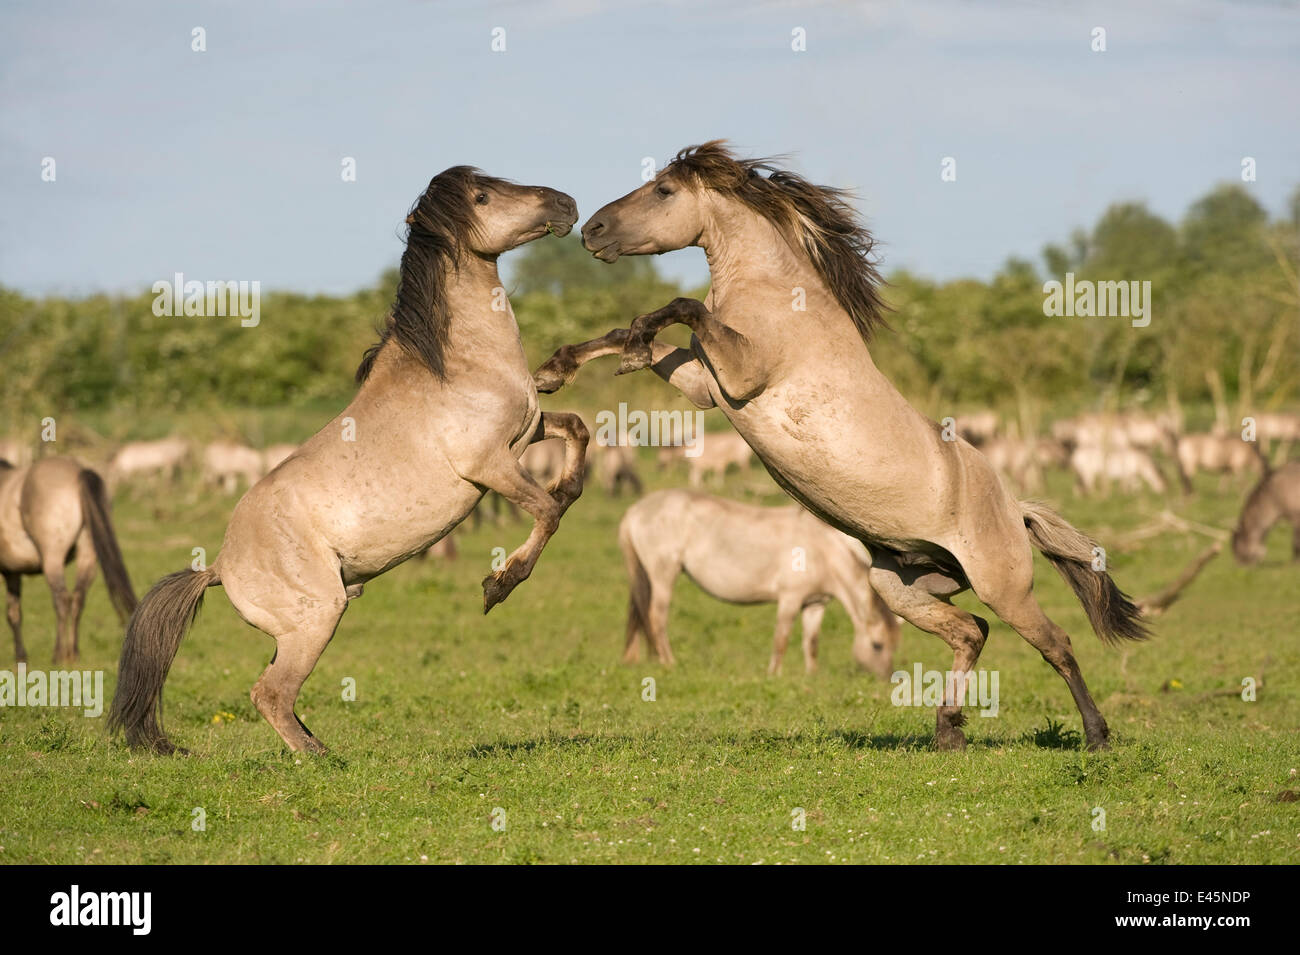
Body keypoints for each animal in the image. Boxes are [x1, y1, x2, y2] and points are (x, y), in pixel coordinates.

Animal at [0, 457, 138, 664]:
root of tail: (77, 472)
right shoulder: (12, 572)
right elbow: (14, 612)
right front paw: (21, 656)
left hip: (53, 559)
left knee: (62, 599)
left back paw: (58, 654)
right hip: (87, 555)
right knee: (78, 598)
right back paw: (73, 653)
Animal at [108, 167, 586, 754]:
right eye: (482, 195)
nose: (565, 203)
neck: (458, 364)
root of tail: (218, 566)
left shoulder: (527, 435)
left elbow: (577, 434)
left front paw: (566, 485)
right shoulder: (489, 465)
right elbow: (547, 513)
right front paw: (499, 584)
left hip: (298, 631)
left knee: (277, 692)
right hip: (318, 619)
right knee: (269, 693)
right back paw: (319, 759)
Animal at [620, 489, 900, 677]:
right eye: (877, 645)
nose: (886, 678)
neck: (822, 549)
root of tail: (635, 511)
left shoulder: (815, 604)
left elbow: (811, 643)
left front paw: (812, 675)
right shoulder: (789, 600)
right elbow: (781, 639)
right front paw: (774, 674)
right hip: (663, 576)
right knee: (656, 618)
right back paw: (669, 662)